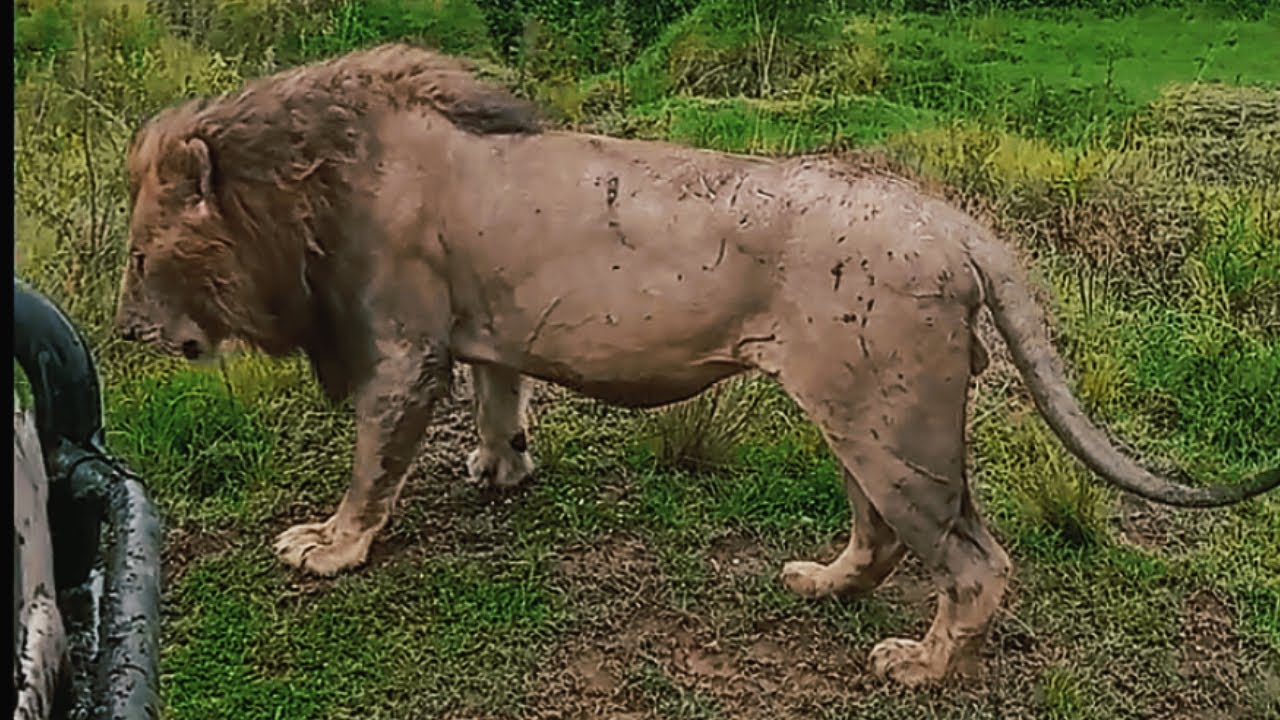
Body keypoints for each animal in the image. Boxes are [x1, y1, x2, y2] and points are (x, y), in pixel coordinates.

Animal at [114, 44, 1278, 686]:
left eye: (133, 256)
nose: (122, 334)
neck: (308, 178)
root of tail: (954, 220)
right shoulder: (475, 329)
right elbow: (501, 393)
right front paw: (501, 469)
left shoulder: (400, 351)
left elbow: (370, 465)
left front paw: (330, 547)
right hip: (859, 415)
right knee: (883, 541)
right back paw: (824, 583)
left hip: (892, 422)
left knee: (975, 563)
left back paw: (918, 667)